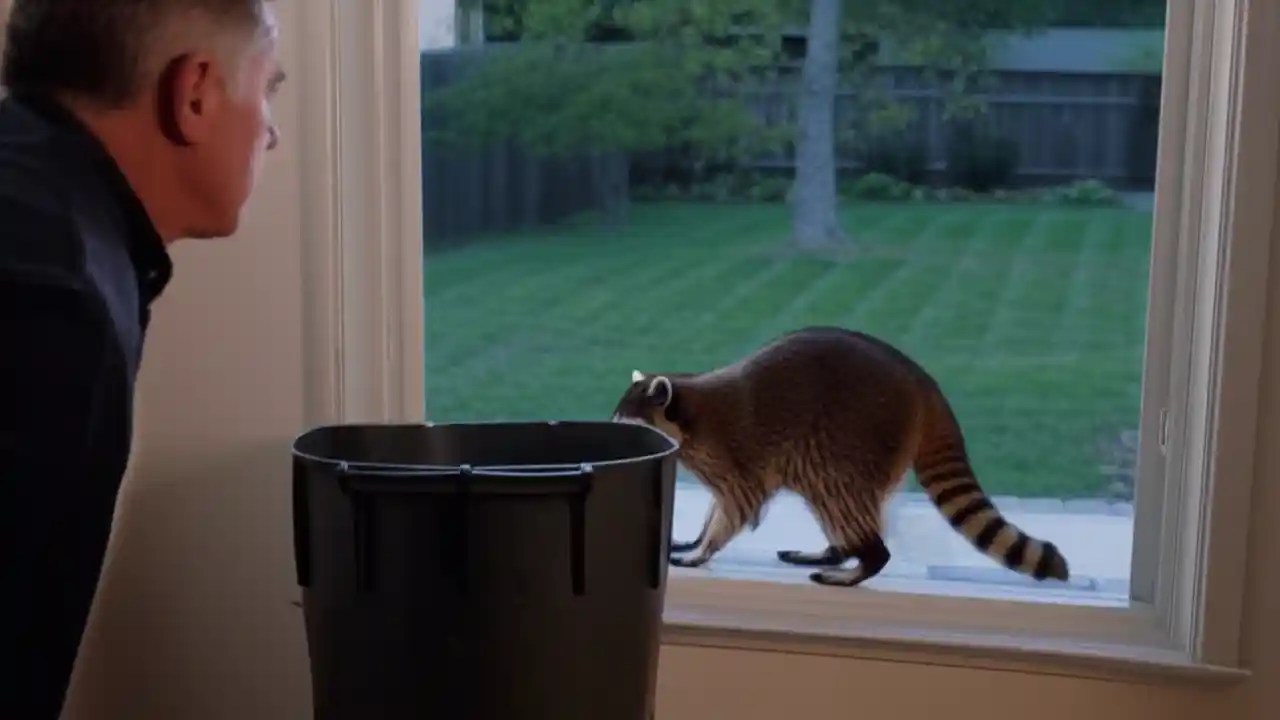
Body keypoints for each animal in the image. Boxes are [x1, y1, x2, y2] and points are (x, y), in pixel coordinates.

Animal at [610, 326, 1069, 587]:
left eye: (628, 422)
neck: (690, 410)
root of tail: (925, 385)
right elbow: (718, 505)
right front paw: (696, 535)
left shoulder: (736, 453)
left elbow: (737, 505)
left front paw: (703, 549)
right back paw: (835, 551)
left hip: (854, 437)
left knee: (839, 496)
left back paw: (864, 560)